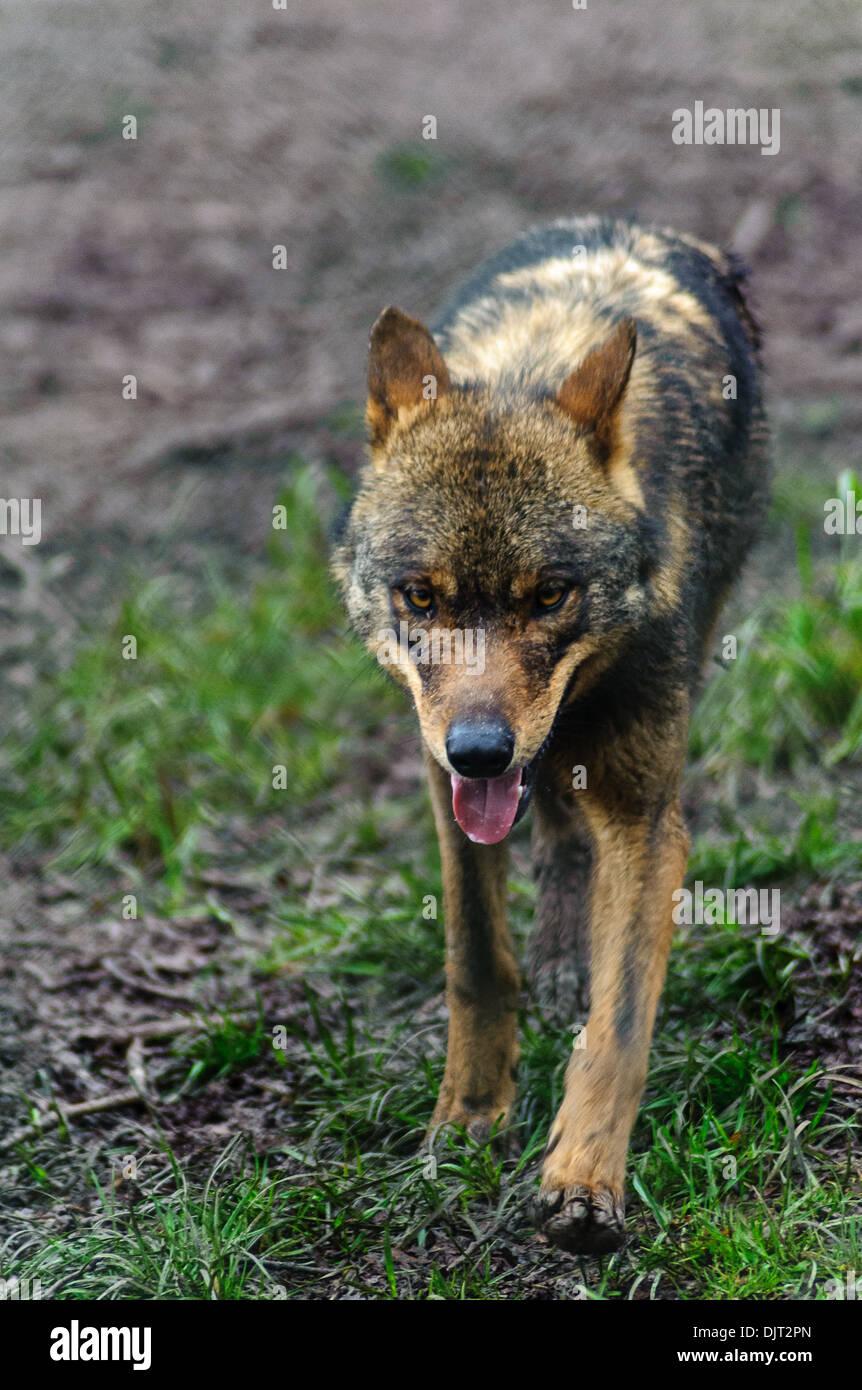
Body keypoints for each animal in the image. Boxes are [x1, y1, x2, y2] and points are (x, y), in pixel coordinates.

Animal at [332, 216, 769, 1253]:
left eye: (549, 596)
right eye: (421, 597)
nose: (482, 751)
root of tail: (637, 225)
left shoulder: (649, 819)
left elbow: (619, 1022)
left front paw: (582, 1182)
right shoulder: (446, 789)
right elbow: (476, 962)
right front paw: (470, 1116)